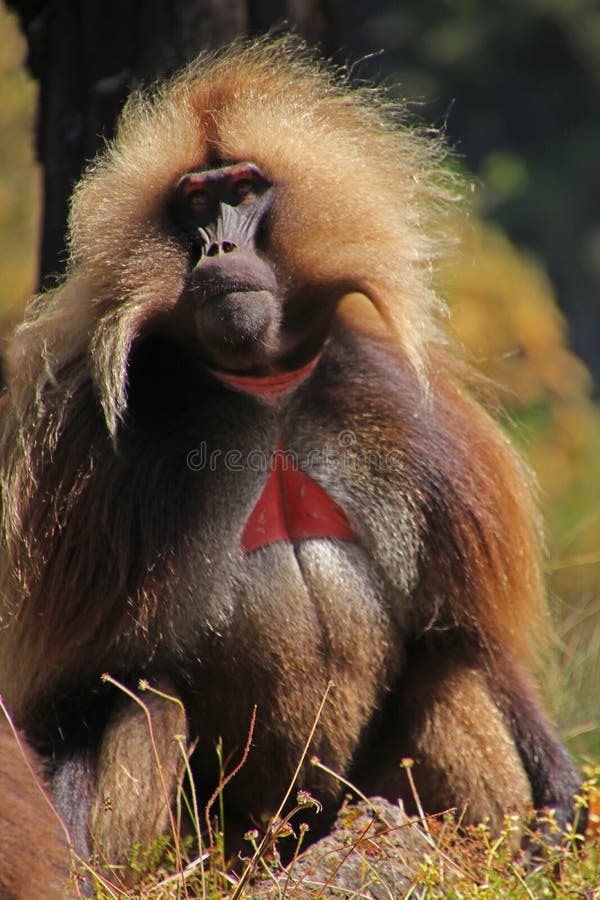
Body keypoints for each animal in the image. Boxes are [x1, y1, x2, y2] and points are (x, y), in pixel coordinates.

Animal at [0, 37, 582, 884]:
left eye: (244, 192)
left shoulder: (407, 416)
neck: (266, 388)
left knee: (447, 669)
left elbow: (468, 636)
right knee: (150, 696)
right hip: (225, 837)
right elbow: (77, 691)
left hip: (353, 808)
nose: (219, 247)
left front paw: (560, 791)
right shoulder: (79, 461)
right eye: (195, 205)